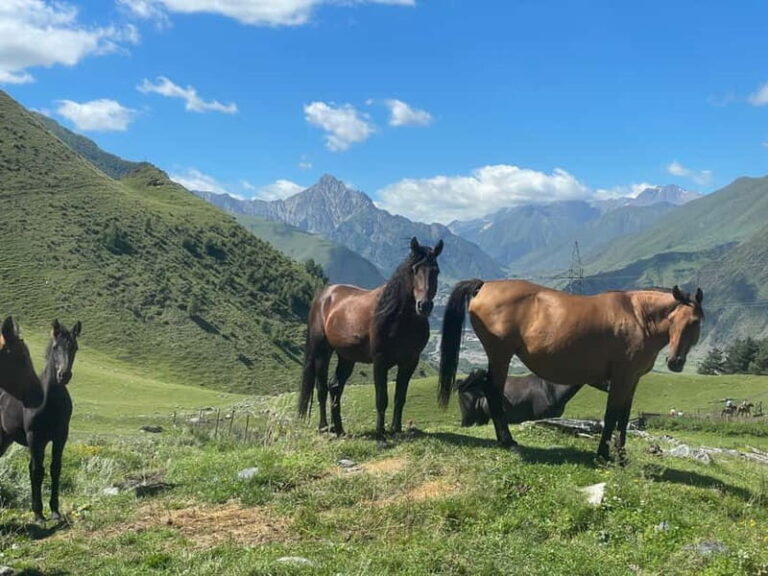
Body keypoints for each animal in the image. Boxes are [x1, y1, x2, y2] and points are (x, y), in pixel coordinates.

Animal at [0, 320, 81, 522]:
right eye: (55, 347)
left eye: (75, 347)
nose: (63, 375)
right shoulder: (35, 438)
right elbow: (36, 471)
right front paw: (38, 514)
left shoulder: (60, 437)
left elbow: (55, 469)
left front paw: (55, 512)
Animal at [298, 237, 443, 438]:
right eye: (414, 270)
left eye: (435, 271)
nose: (424, 306)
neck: (398, 318)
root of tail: (323, 296)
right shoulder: (380, 361)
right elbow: (382, 398)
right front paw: (380, 433)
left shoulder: (410, 362)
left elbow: (400, 397)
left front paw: (396, 429)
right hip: (322, 352)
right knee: (322, 389)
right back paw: (324, 427)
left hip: (347, 357)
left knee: (335, 386)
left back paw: (339, 429)